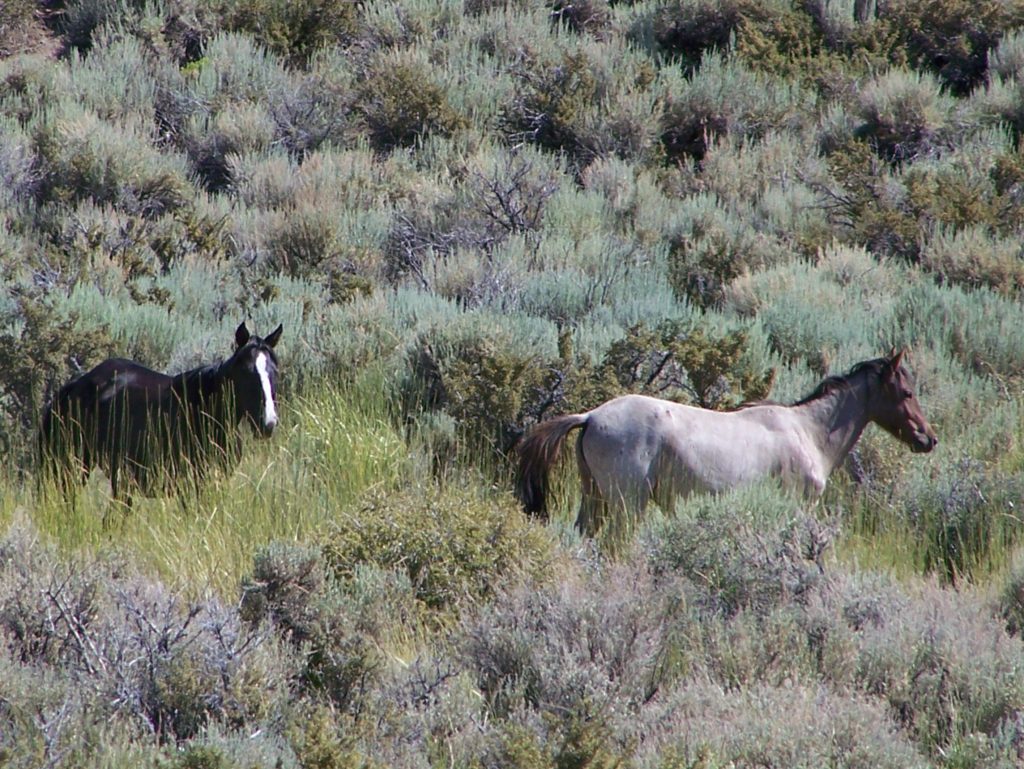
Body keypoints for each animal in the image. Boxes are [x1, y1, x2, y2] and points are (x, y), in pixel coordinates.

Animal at [40, 322, 283, 502]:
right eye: (246, 373)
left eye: (274, 371)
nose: (268, 423)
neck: (203, 412)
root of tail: (77, 385)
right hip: (76, 467)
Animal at [516, 349, 937, 537]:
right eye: (906, 392)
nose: (928, 438)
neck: (808, 432)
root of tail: (590, 416)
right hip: (626, 504)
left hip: (595, 498)